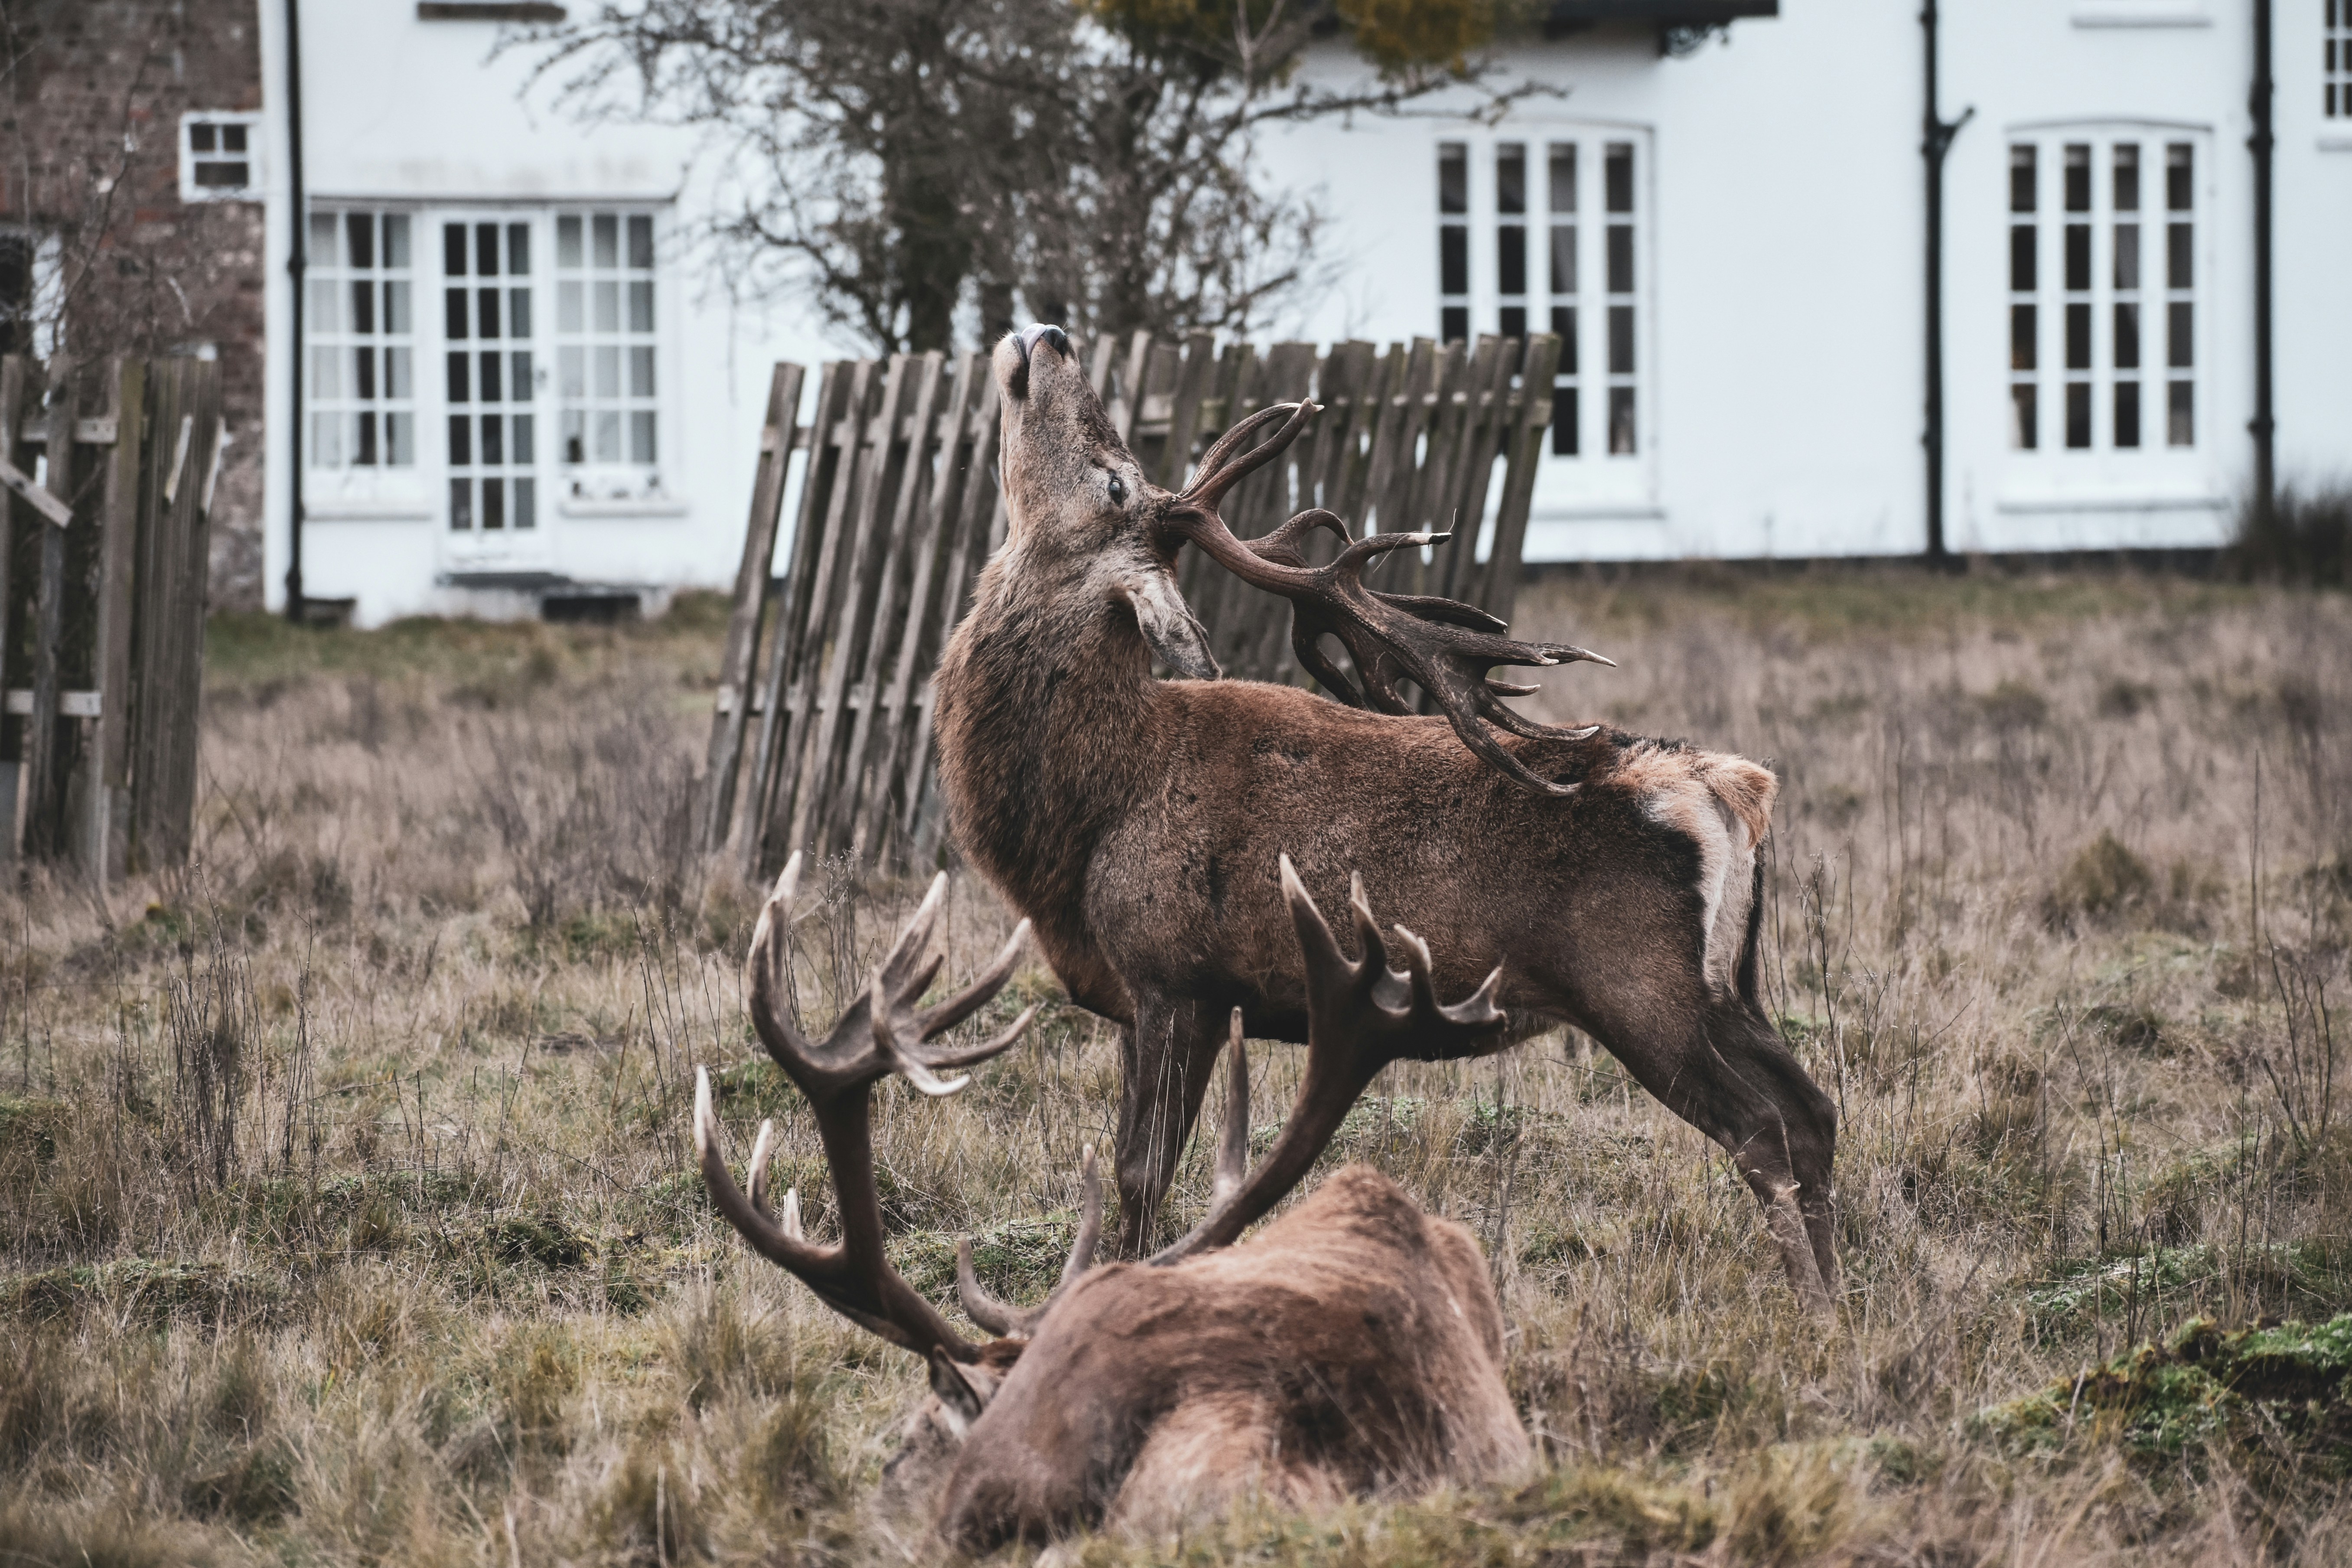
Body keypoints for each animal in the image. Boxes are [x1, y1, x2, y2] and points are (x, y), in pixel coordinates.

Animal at [930, 323, 1839, 1313]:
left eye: (1115, 482)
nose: (1049, 337)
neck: (1091, 808)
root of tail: (1729, 785)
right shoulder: (1139, 996)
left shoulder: (1178, 972)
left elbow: (1141, 1175)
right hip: (1728, 983)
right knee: (1813, 1107)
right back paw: (1845, 1290)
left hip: (1637, 983)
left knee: (1760, 1127)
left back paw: (1813, 1305)